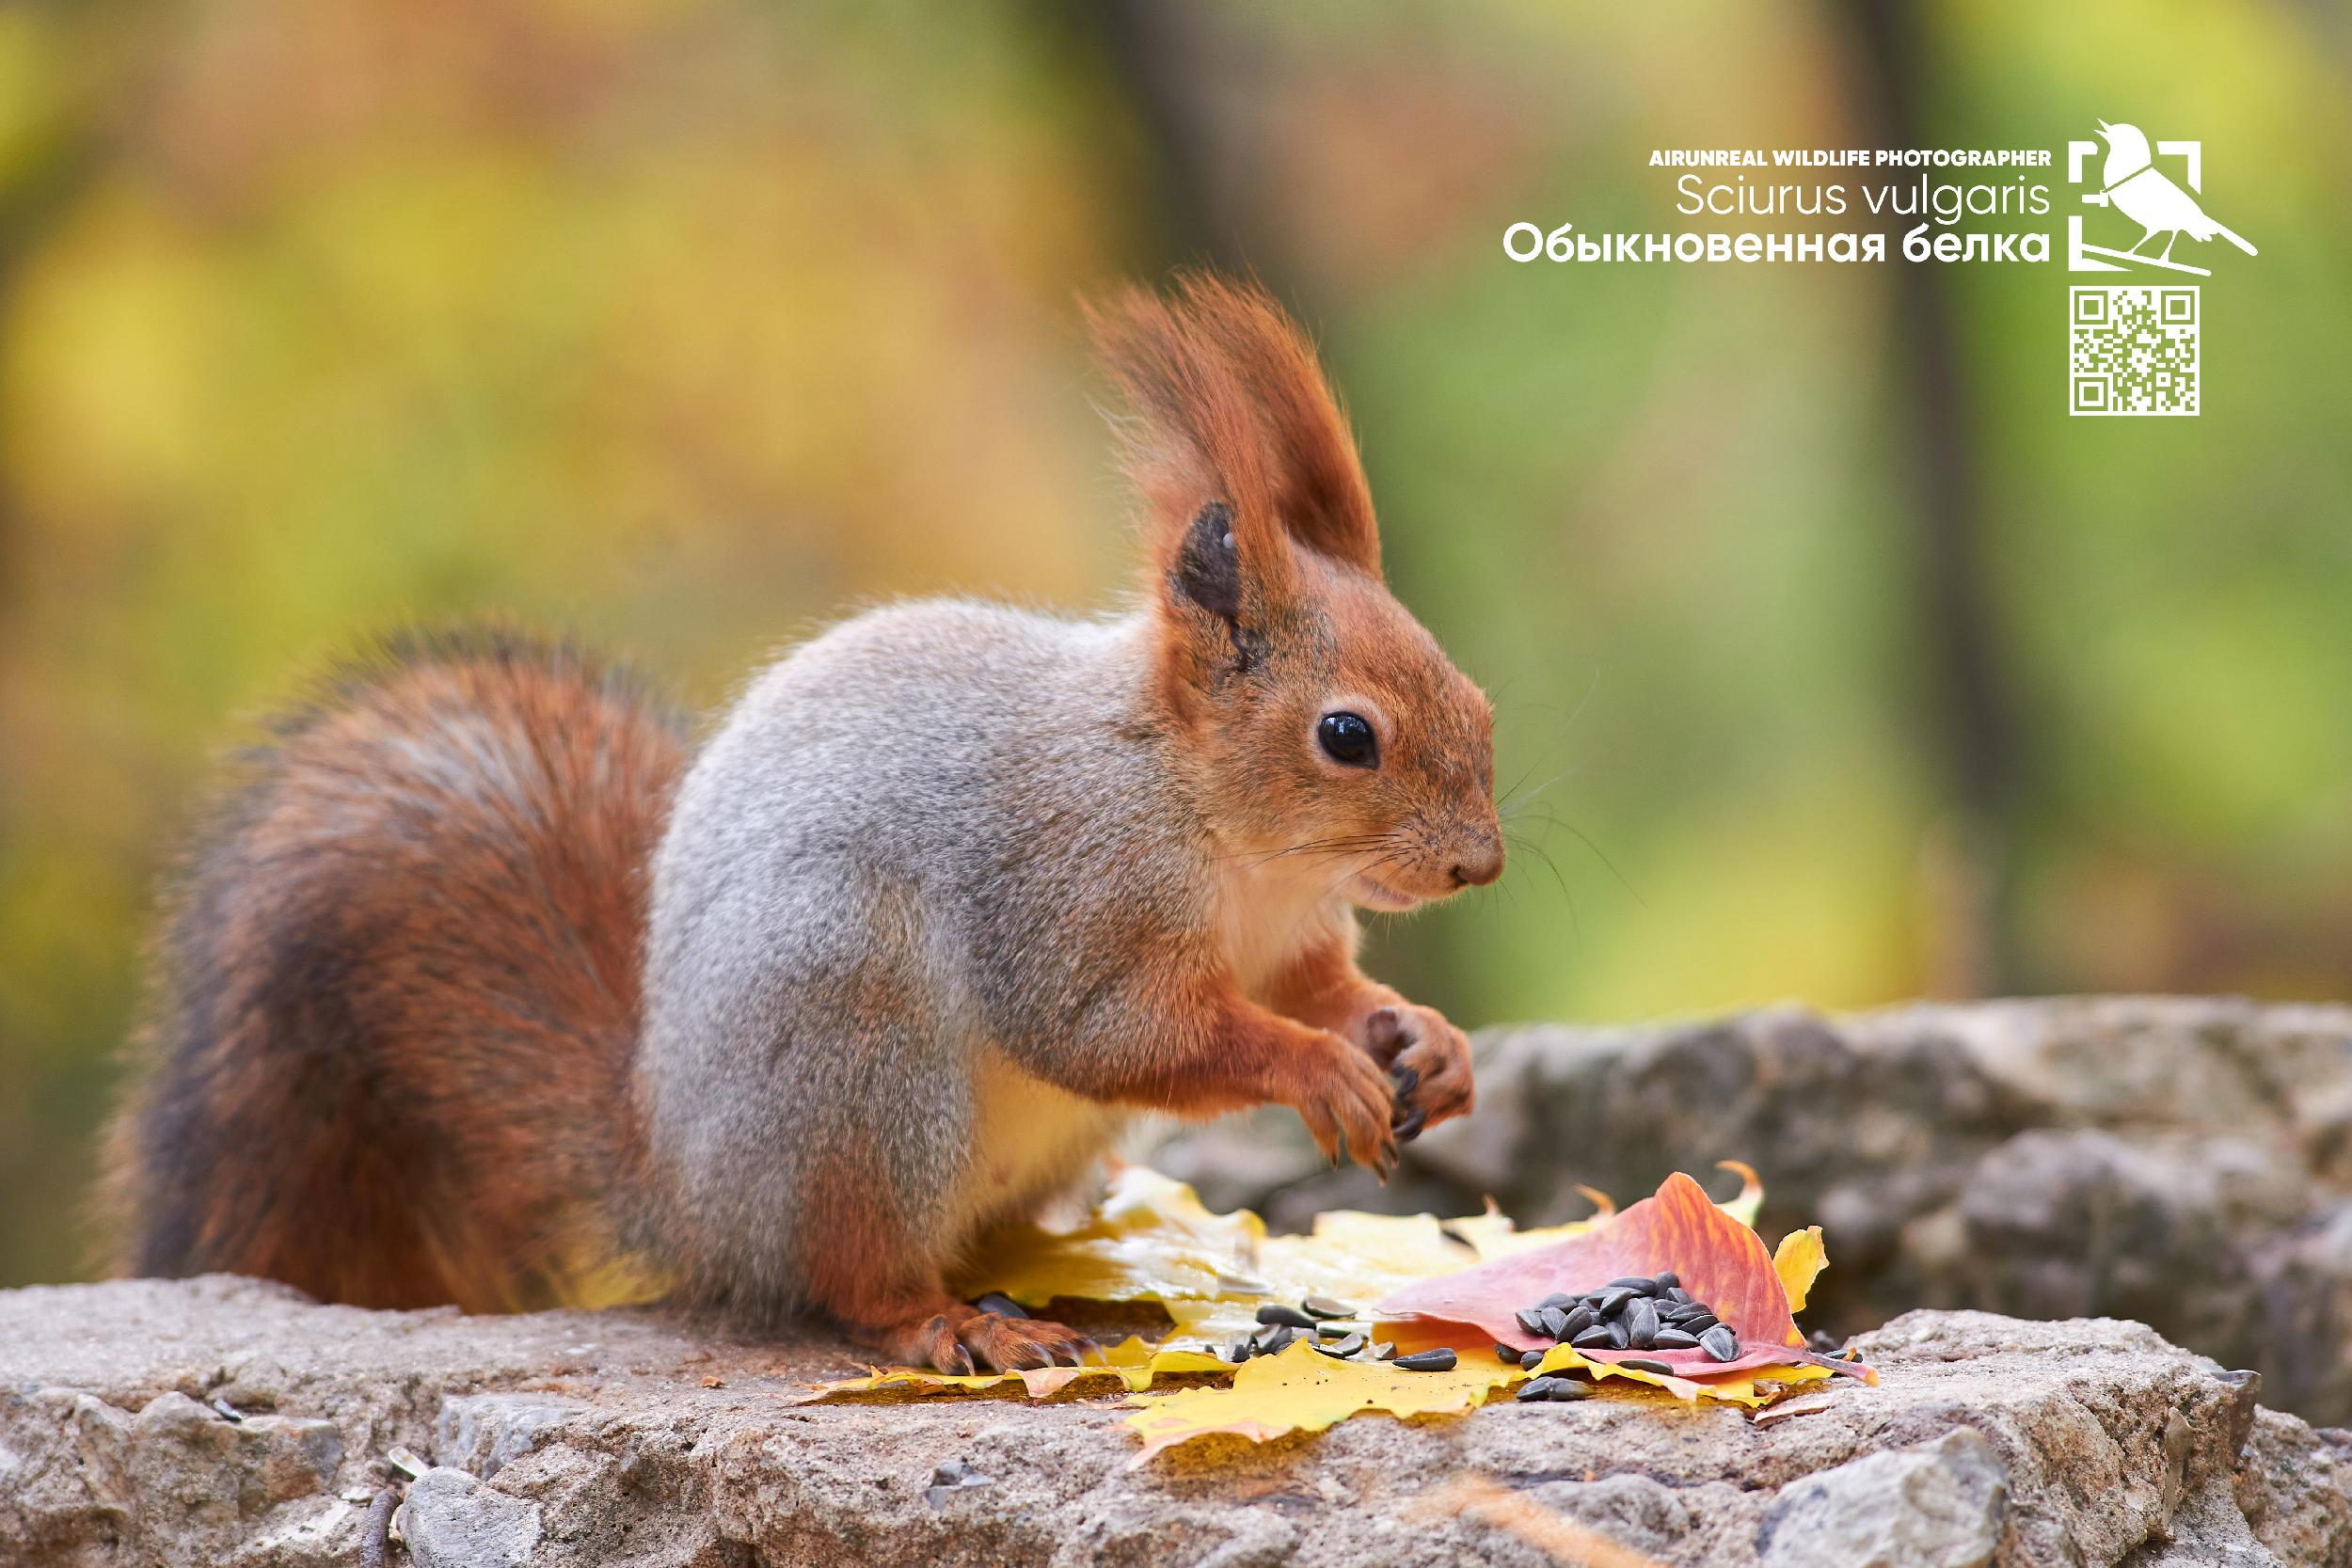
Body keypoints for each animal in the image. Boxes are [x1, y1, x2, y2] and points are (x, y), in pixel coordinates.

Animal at [96, 278, 1505, 1372]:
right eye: (1347, 735)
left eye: (1475, 693)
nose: (1478, 863)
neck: (1222, 828)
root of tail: (689, 1194)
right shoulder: (1064, 880)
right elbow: (1113, 1029)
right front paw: (1316, 1068)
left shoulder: (1290, 932)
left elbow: (1317, 985)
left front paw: (1415, 1040)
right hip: (858, 1055)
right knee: (850, 1274)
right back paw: (953, 1321)